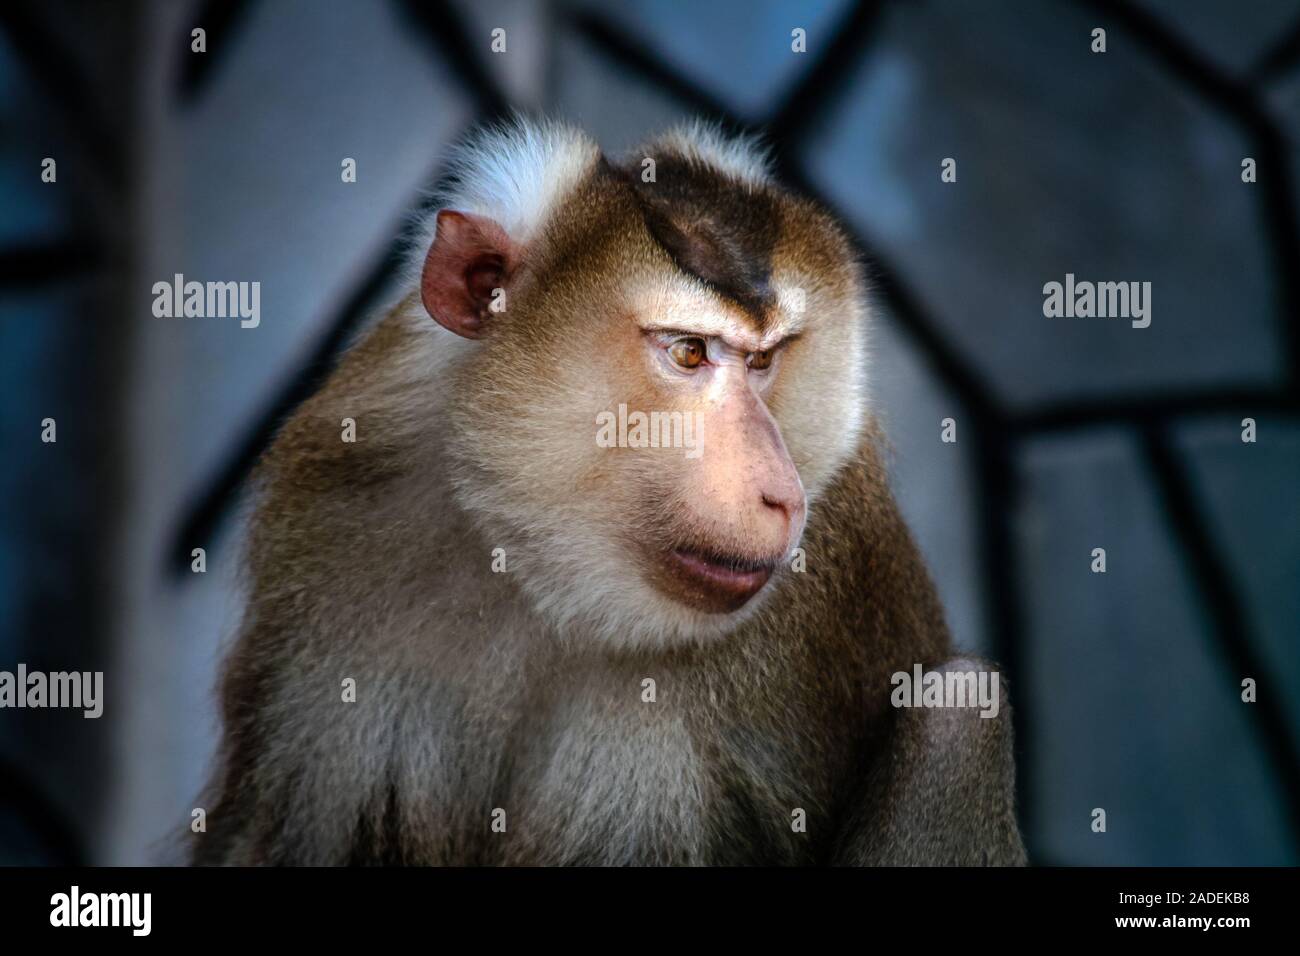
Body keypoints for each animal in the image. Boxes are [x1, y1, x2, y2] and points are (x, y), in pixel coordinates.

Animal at [191, 118, 1026, 866]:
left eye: (763, 362)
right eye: (688, 353)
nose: (782, 495)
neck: (535, 571)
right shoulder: (339, 517)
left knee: (960, 717)